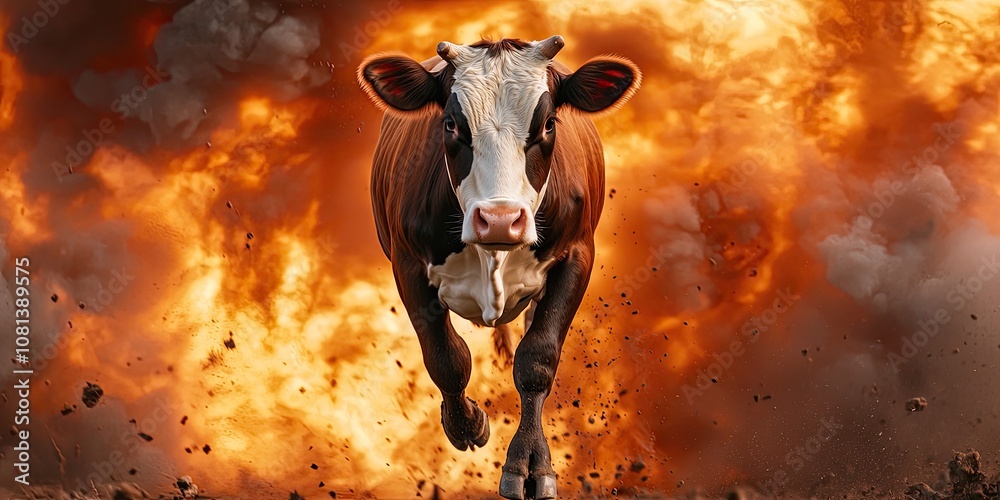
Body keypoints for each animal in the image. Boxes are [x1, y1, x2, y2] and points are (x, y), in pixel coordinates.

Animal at [357, 35, 640, 499]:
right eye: (450, 124)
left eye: (548, 124)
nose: (502, 219)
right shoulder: (407, 262)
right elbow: (445, 357)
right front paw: (465, 424)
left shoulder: (577, 255)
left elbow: (537, 359)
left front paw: (530, 463)